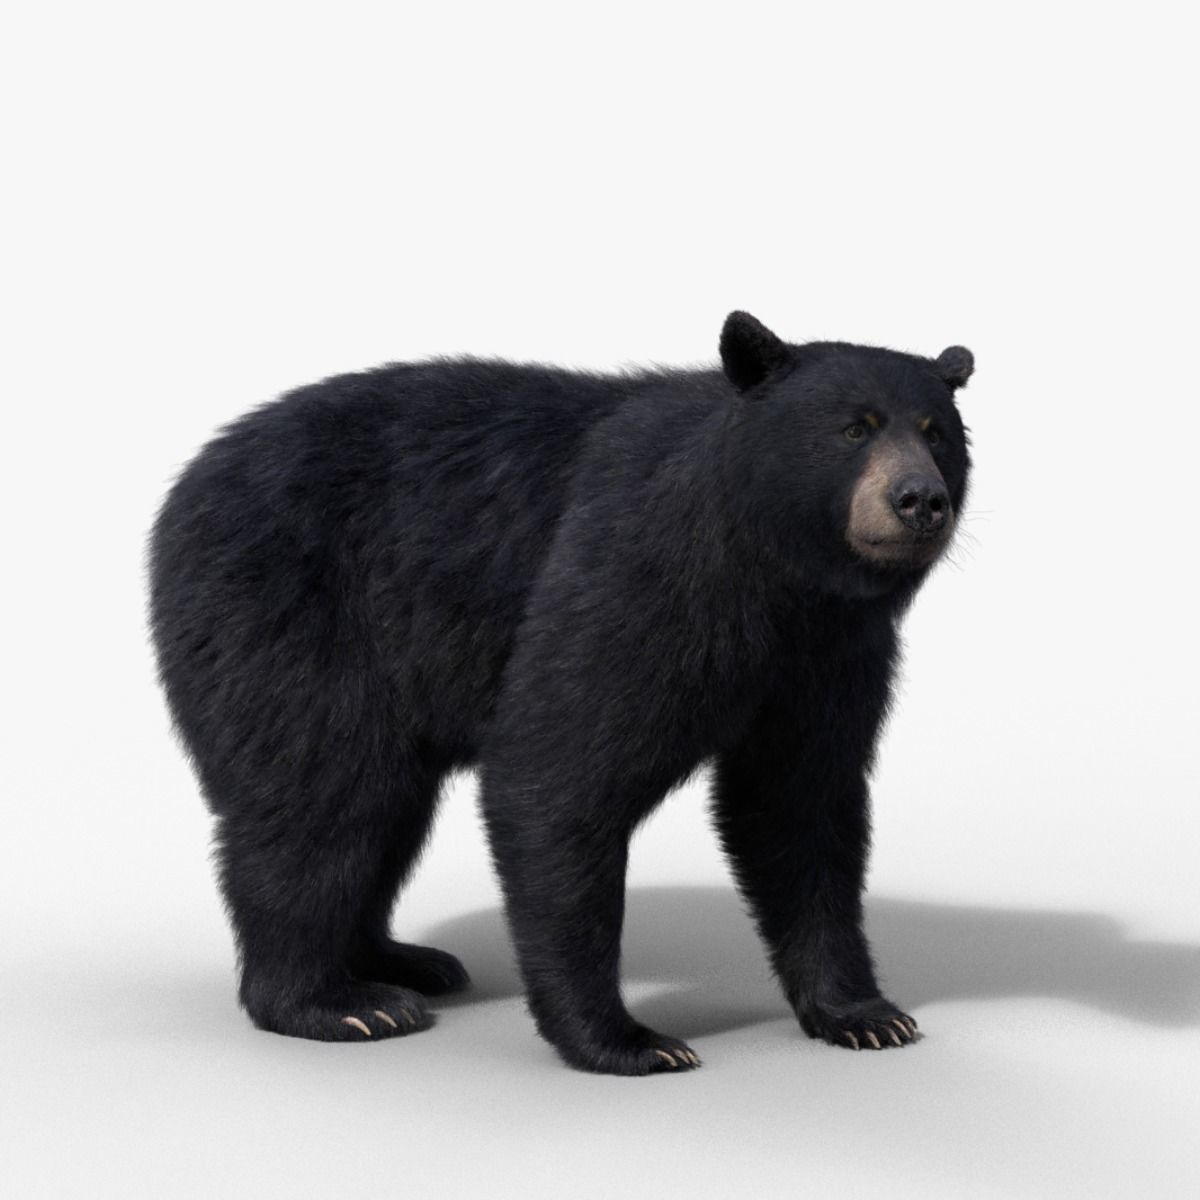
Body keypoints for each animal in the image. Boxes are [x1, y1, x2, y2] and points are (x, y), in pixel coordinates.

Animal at [149, 311, 974, 1074]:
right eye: (853, 428)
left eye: (937, 433)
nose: (919, 499)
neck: (778, 580)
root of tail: (188, 479)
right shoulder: (634, 578)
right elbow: (558, 771)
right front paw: (626, 1039)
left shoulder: (831, 658)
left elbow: (799, 805)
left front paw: (863, 1013)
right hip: (289, 615)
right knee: (322, 797)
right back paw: (333, 1001)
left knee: (384, 810)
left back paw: (398, 961)